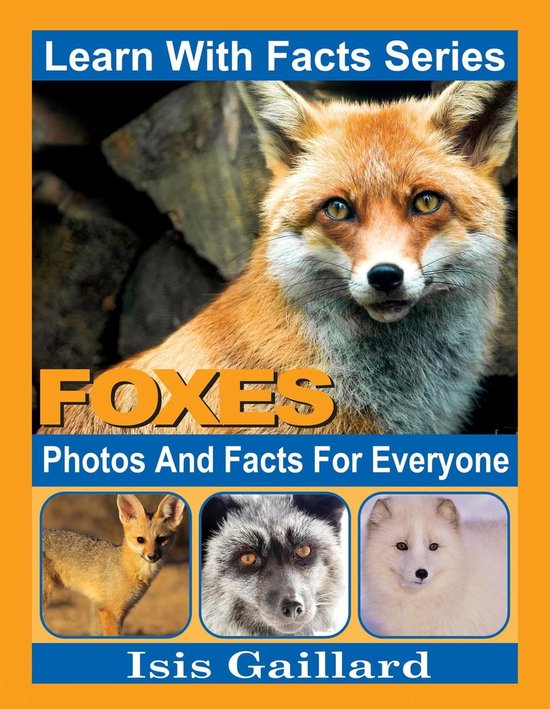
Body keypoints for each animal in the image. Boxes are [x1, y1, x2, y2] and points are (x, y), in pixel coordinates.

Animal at [42, 494, 185, 636]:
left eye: (161, 539)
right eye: (140, 540)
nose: (152, 556)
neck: (127, 568)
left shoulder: (124, 611)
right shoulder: (109, 610)